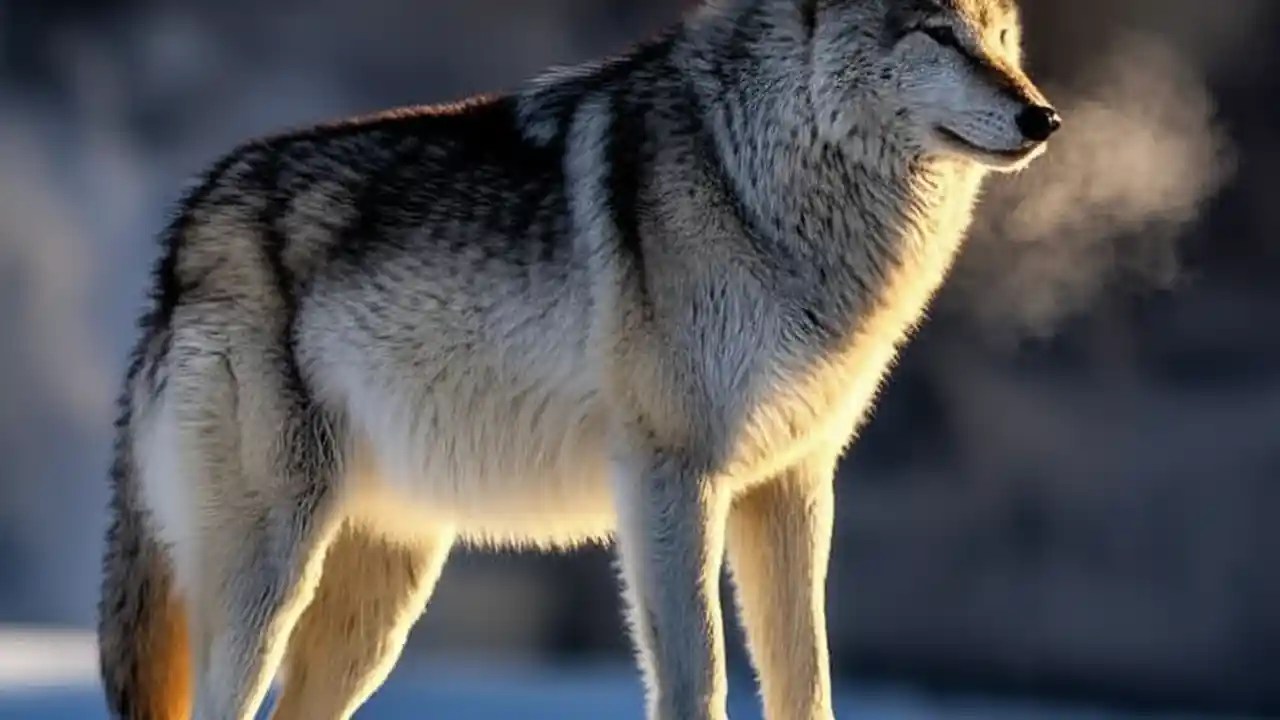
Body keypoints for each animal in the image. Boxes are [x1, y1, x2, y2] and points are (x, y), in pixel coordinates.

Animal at [98, 0, 1058, 718]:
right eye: (936, 32)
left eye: (1000, 32)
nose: (1043, 117)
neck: (761, 180)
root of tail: (181, 237)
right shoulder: (672, 477)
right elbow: (699, 678)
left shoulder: (792, 483)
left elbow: (807, 684)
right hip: (272, 582)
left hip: (376, 611)